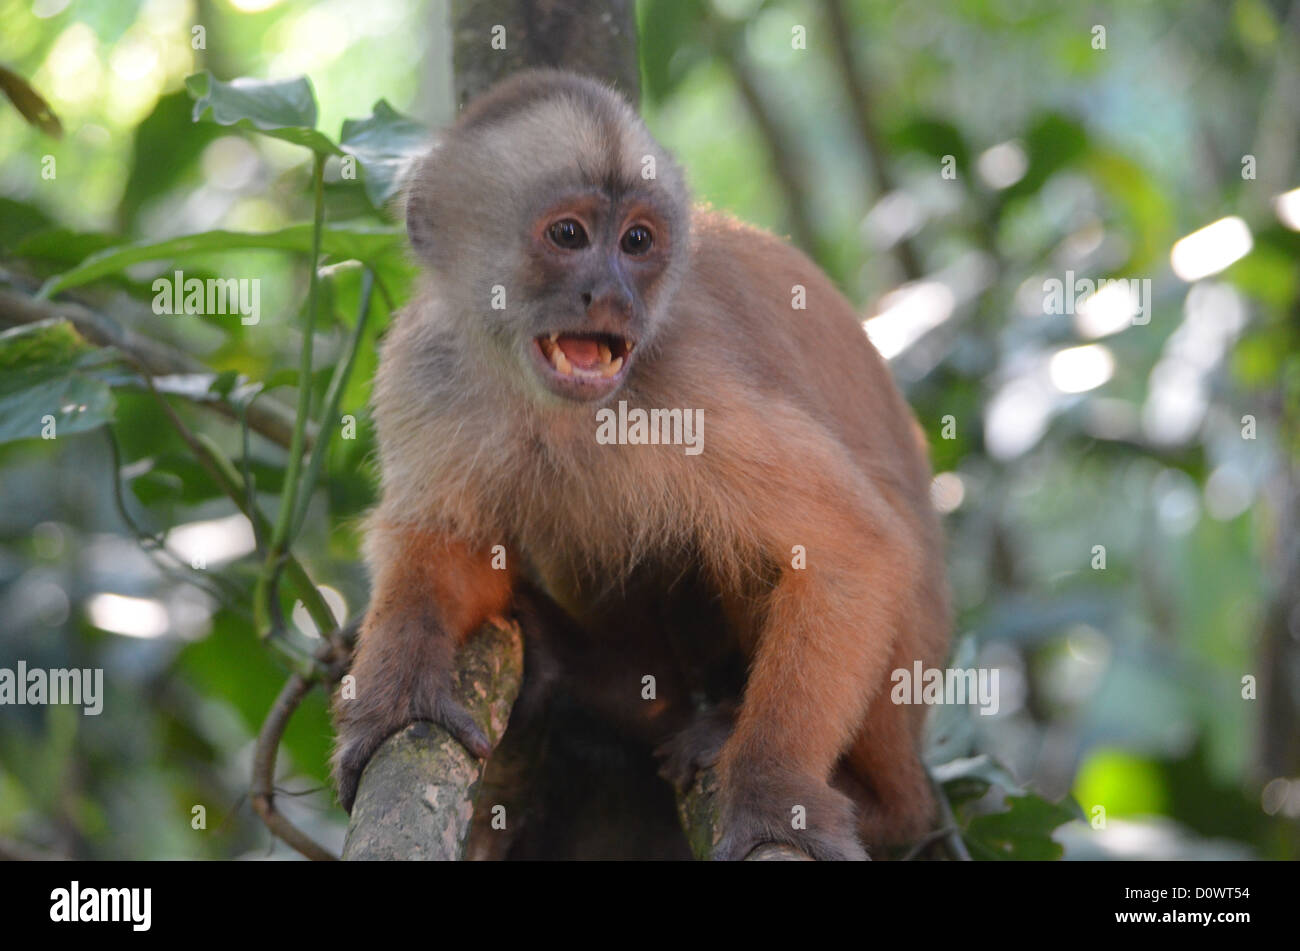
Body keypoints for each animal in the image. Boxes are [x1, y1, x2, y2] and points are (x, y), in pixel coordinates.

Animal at [331, 69, 950, 861]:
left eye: (637, 241)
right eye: (568, 235)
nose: (615, 296)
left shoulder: (687, 382)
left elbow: (851, 548)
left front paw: (775, 795)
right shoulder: (423, 363)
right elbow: (447, 542)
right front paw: (402, 690)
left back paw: (871, 799)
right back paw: (608, 684)